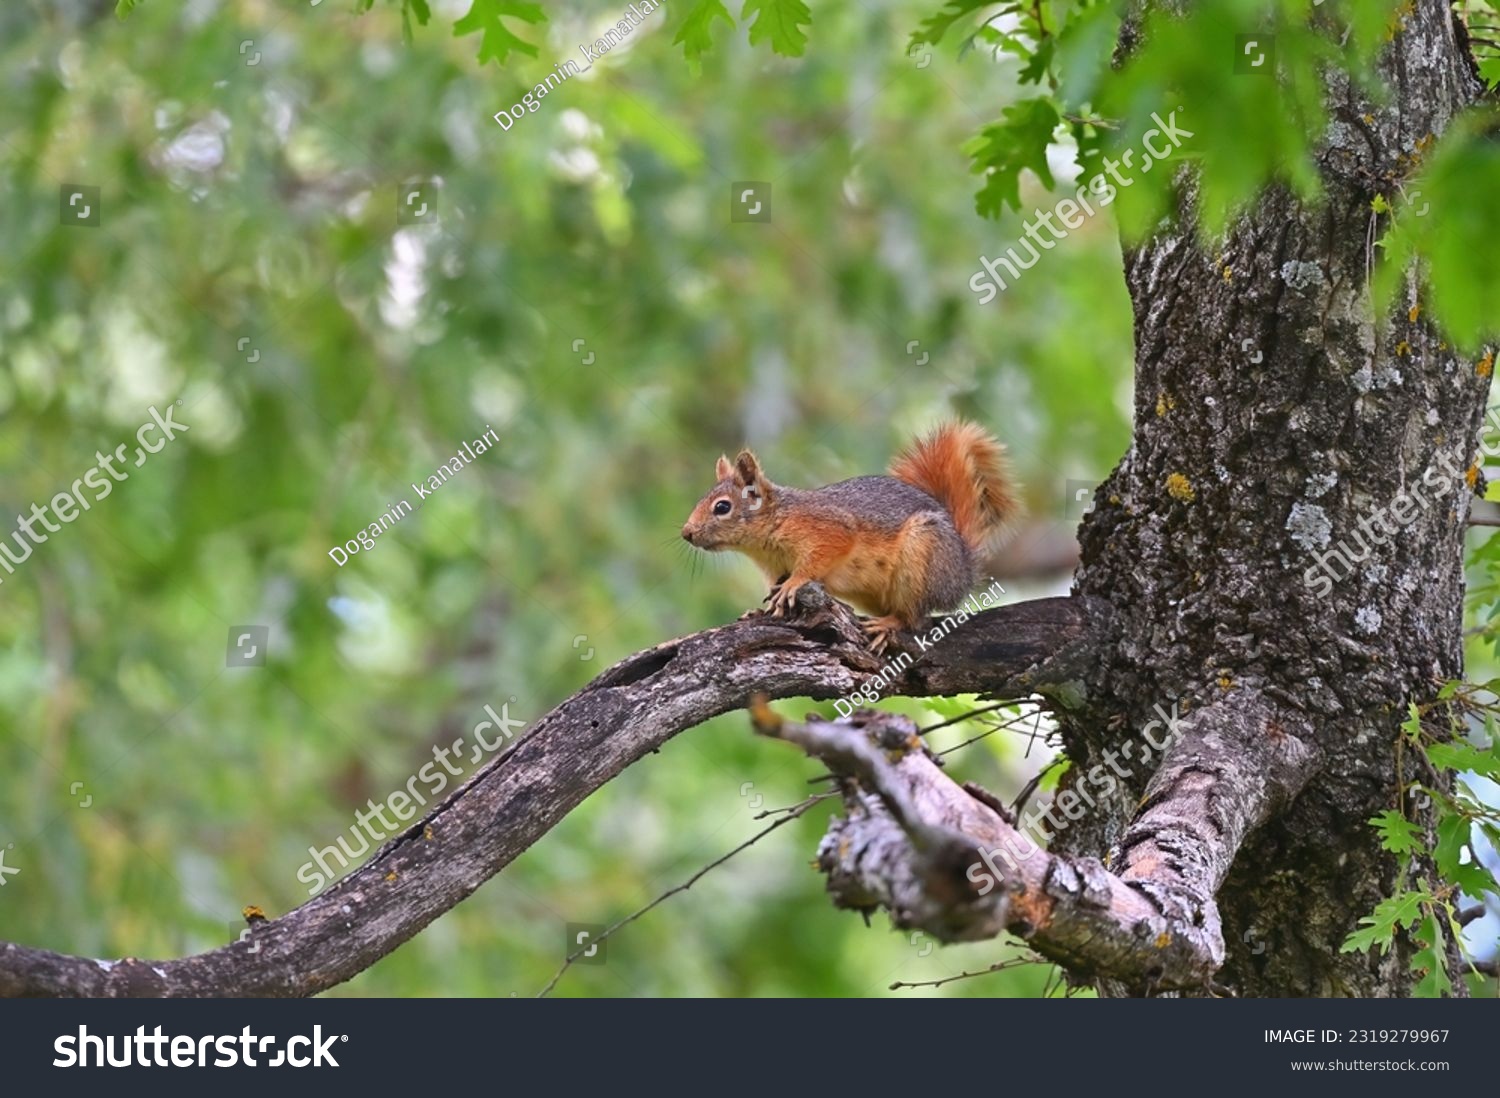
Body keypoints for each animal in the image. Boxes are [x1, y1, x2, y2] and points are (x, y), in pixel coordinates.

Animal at [681, 421, 1020, 651]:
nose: (686, 533)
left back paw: (888, 624)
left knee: (915, 618)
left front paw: (794, 584)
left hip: (923, 558)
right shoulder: (774, 566)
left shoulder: (827, 528)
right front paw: (761, 609)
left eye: (722, 507)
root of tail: (963, 570)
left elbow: (819, 558)